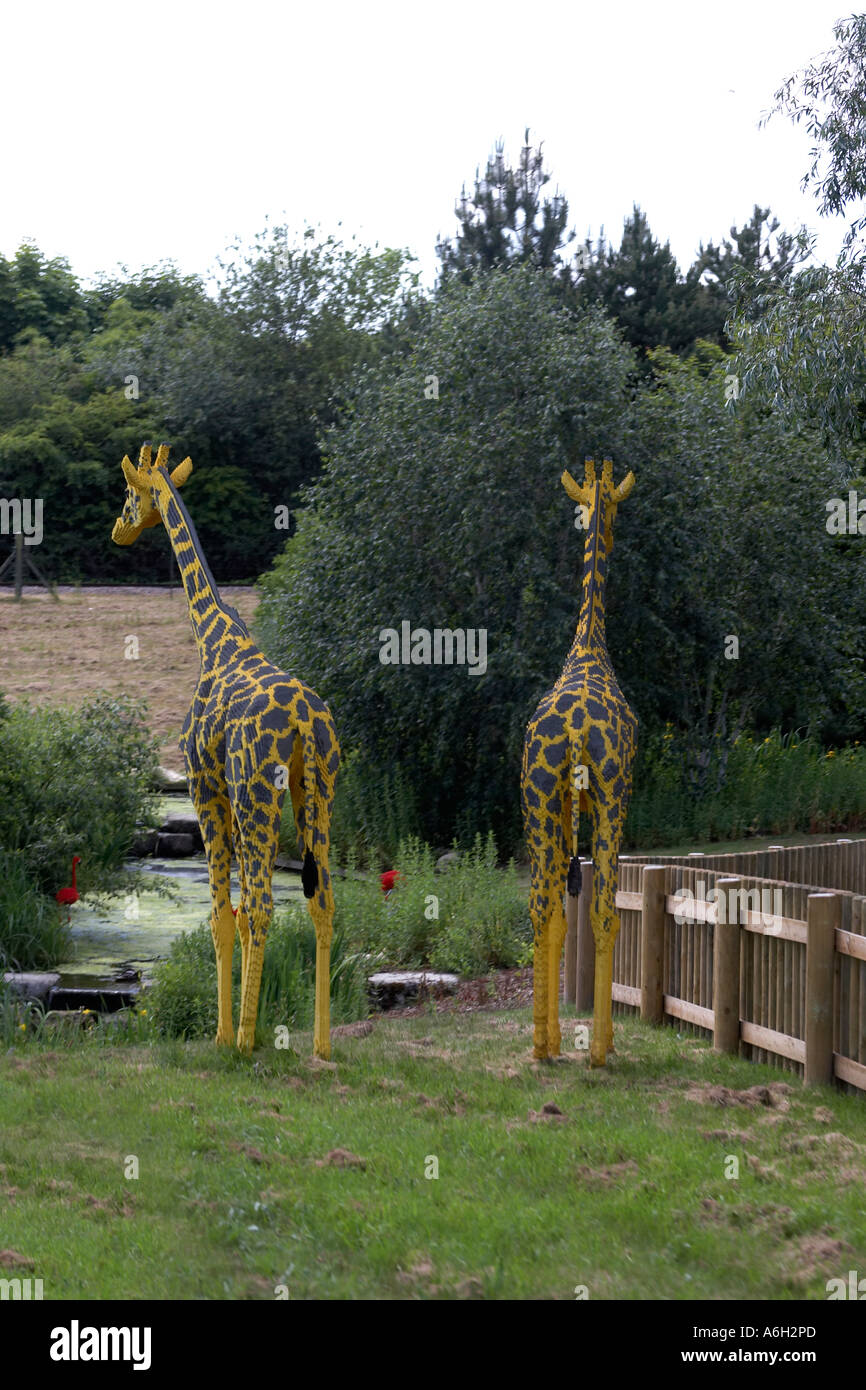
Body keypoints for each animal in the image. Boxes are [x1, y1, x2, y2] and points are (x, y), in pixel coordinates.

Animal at [111, 442, 340, 1058]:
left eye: (130, 494)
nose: (119, 530)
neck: (213, 639)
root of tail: (305, 721)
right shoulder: (231, 796)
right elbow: (233, 913)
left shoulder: (204, 786)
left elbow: (219, 914)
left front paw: (221, 1035)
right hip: (318, 793)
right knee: (321, 902)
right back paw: (321, 1046)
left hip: (257, 794)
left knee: (262, 902)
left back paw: (241, 1041)